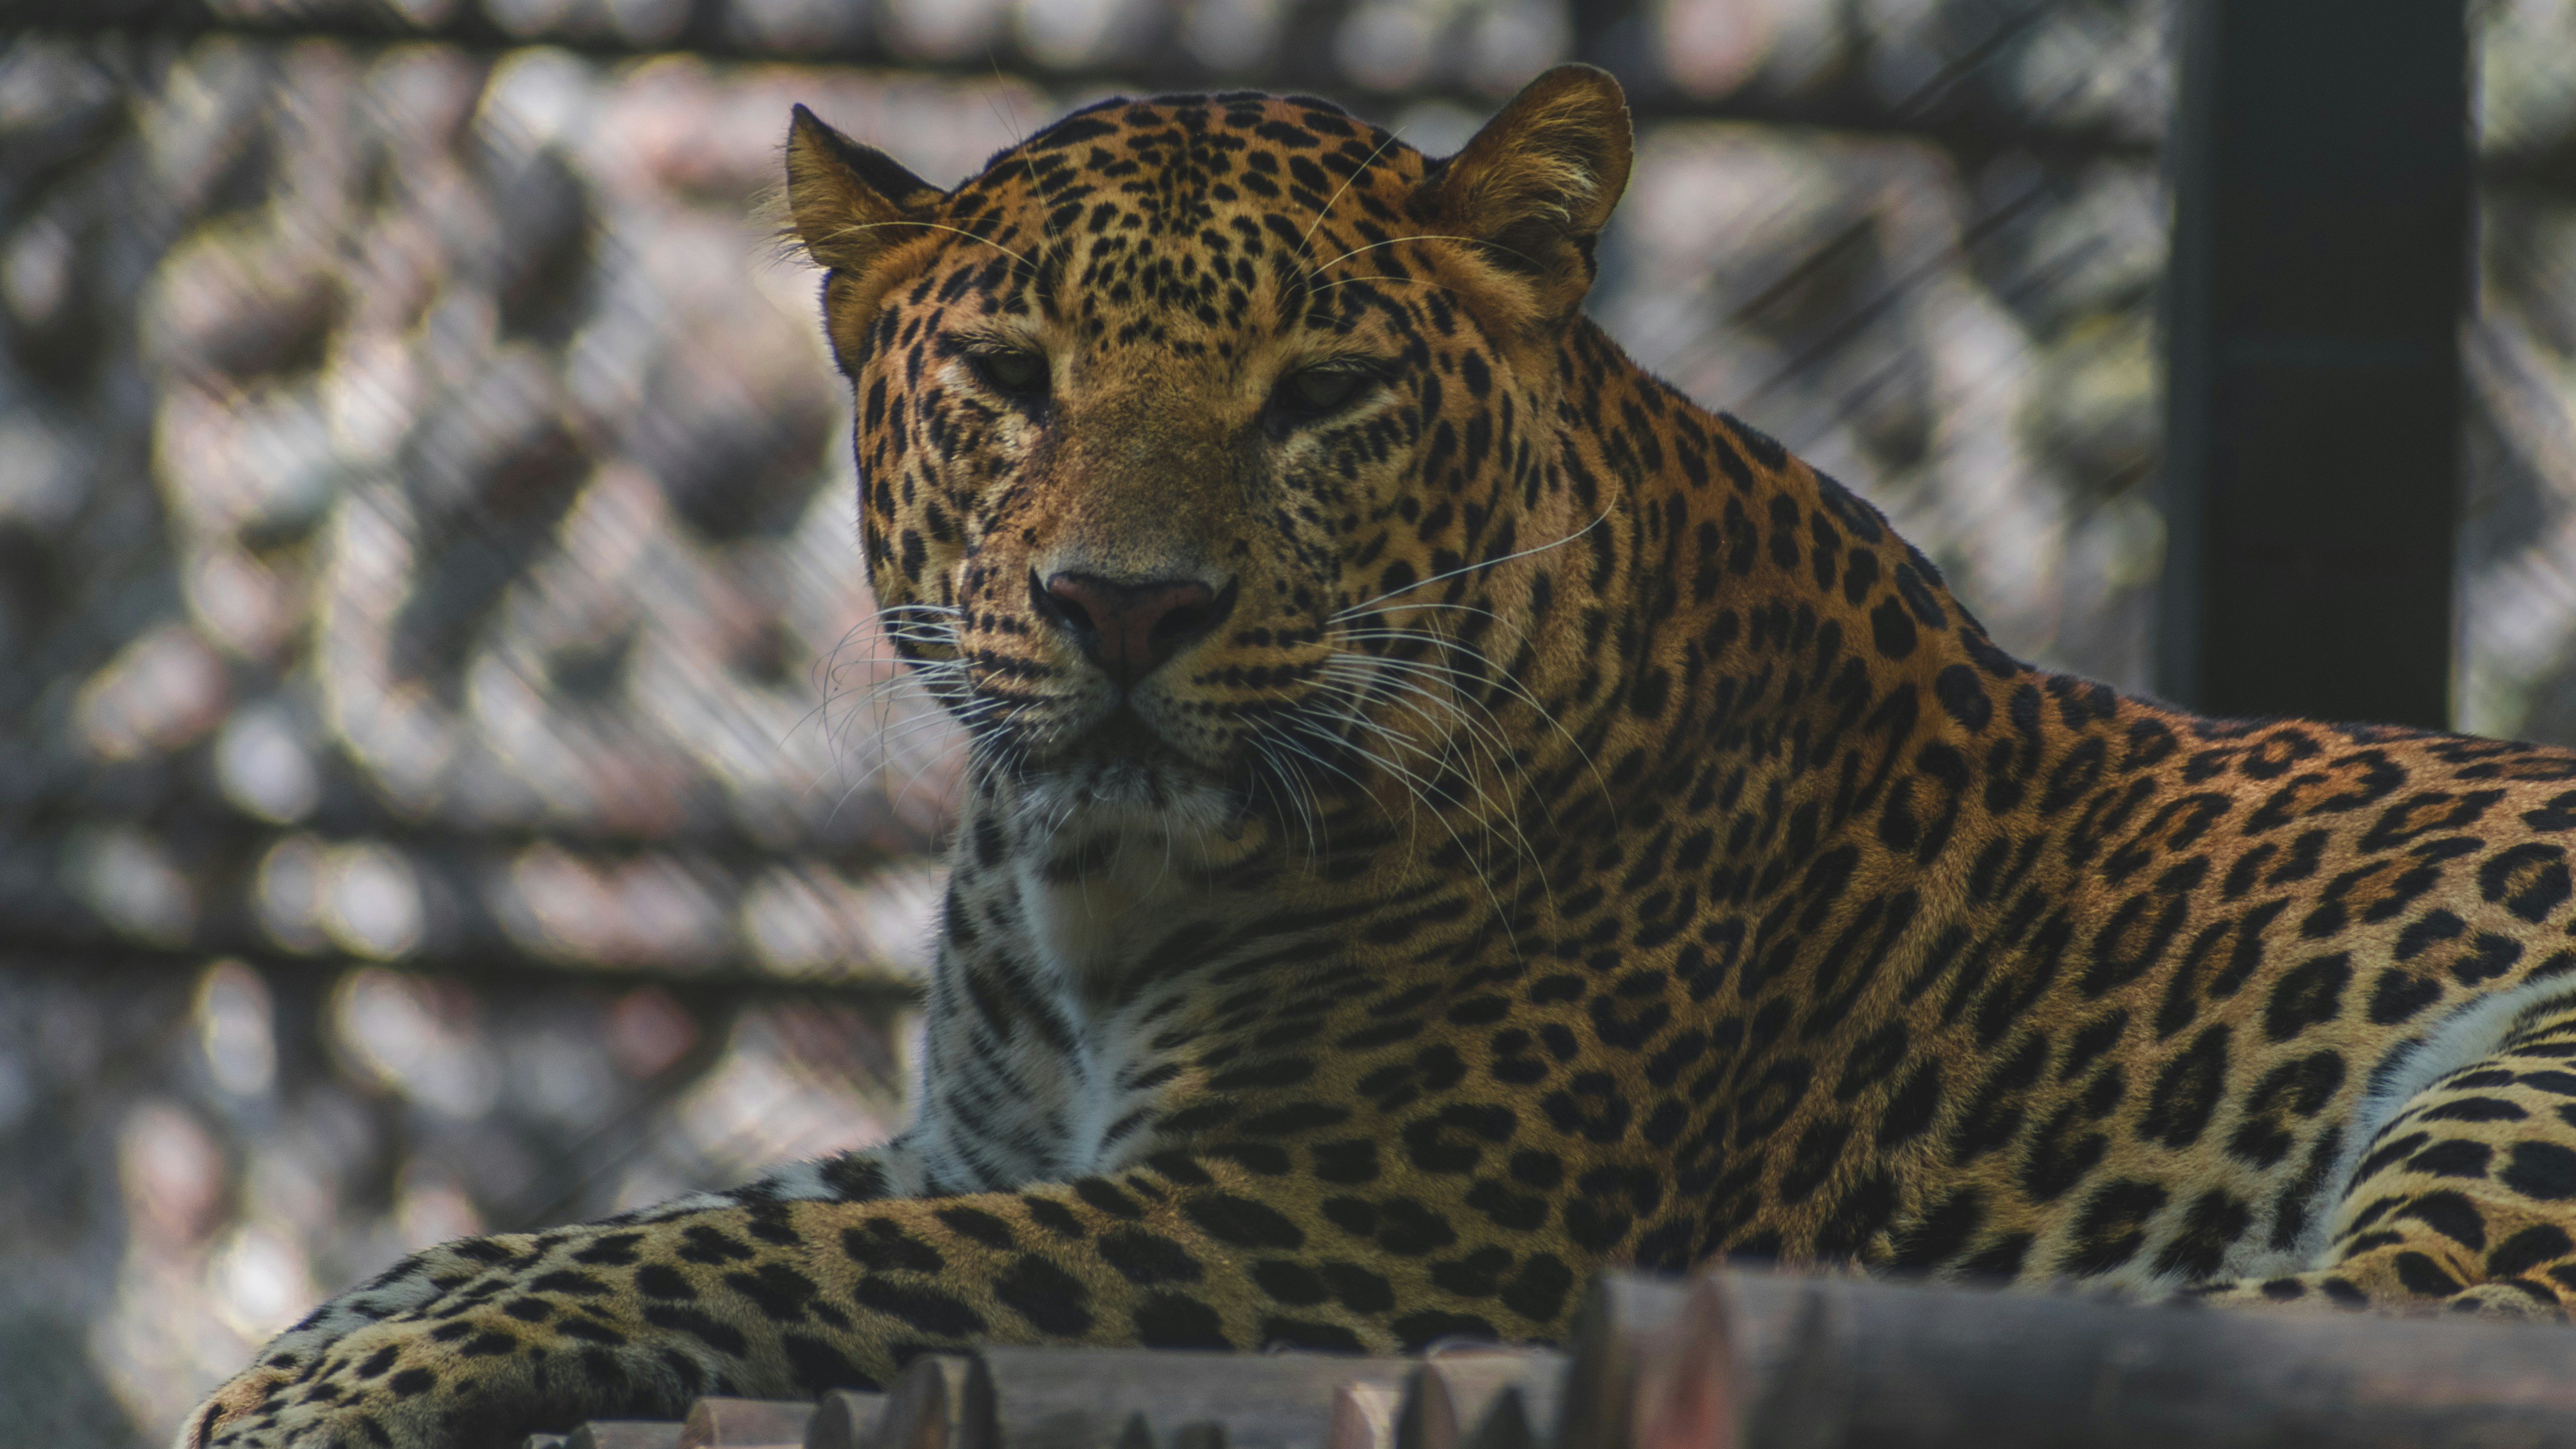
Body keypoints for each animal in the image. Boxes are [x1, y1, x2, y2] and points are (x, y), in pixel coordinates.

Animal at [186, 62, 2576, 1449]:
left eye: (1321, 393)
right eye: (1007, 376)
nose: (1125, 609)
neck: (1084, 896)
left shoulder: (1336, 1220)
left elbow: (747, 1260)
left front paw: (347, 1383)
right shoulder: (973, 1136)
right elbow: (612, 1214)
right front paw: (311, 1346)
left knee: (2380, 1317)